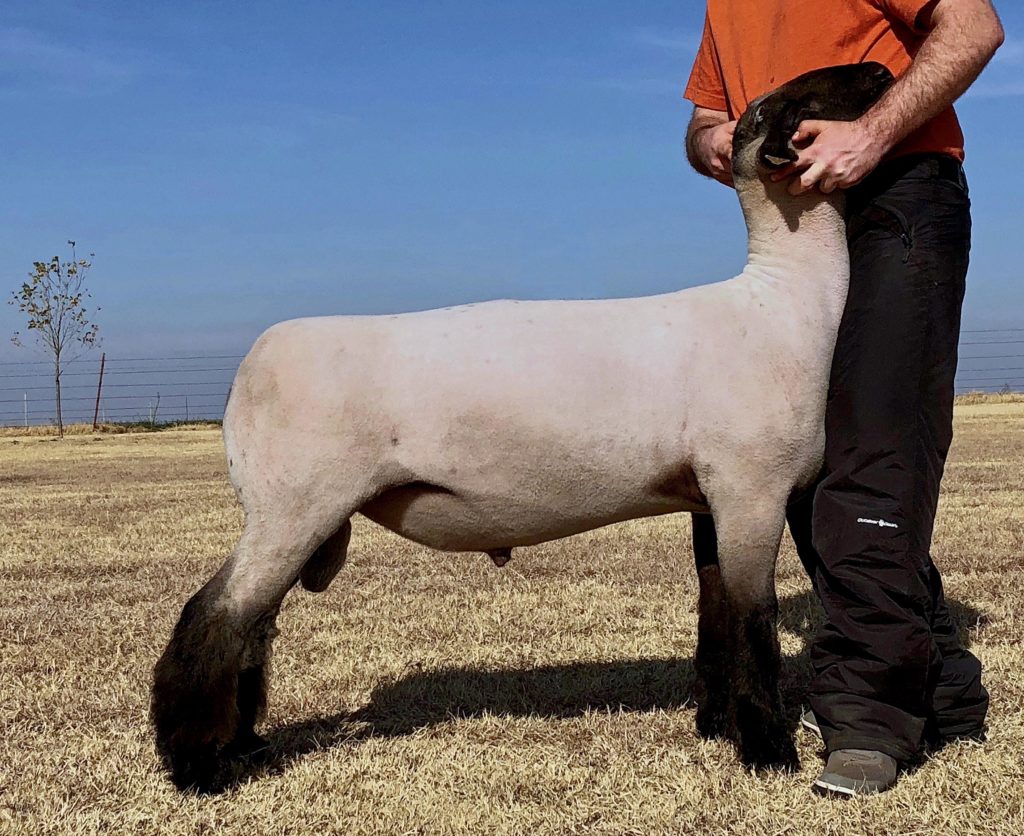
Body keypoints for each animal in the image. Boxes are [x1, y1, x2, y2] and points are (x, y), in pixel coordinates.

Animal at [151, 62, 895, 792]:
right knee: (215, 616)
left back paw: (243, 745)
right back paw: (197, 767)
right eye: (797, 96)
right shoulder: (752, 488)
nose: (882, 70)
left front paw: (716, 726)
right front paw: (768, 751)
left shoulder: (710, 497)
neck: (784, 304)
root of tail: (248, 369)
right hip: (294, 504)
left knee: (252, 625)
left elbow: (715, 617)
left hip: (295, 512)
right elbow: (752, 622)